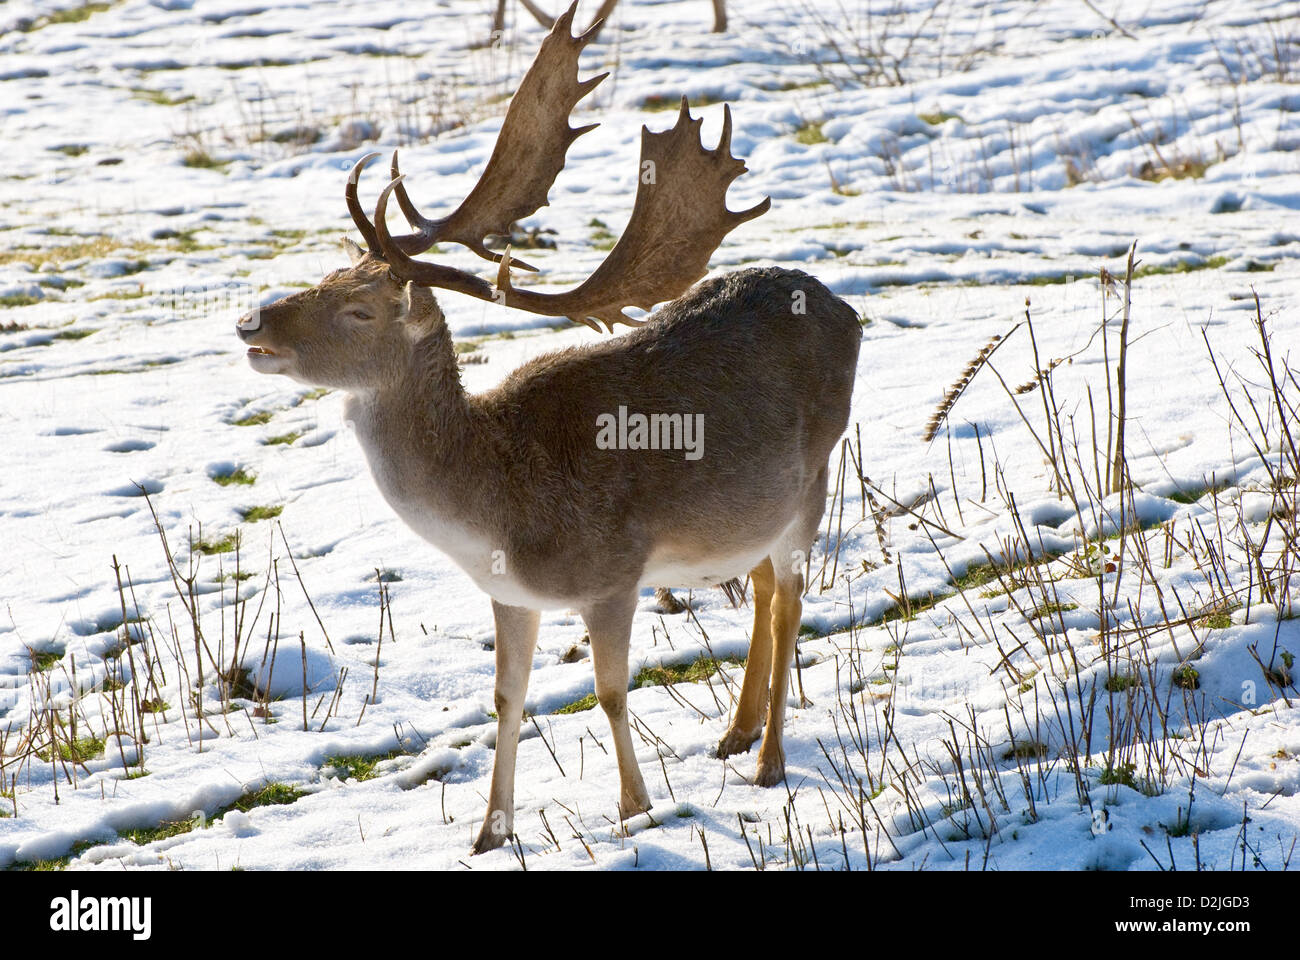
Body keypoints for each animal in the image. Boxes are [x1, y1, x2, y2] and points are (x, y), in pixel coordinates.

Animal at [235, 2, 861, 854]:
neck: (497, 506)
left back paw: (769, 761)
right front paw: (489, 831)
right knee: (763, 583)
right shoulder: (510, 595)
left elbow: (610, 691)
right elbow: (507, 699)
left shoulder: (614, 573)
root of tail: (848, 310)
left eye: (359, 310)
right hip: (753, 510)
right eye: (327, 276)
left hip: (816, 476)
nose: (252, 322)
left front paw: (634, 808)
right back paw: (735, 734)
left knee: (794, 595)